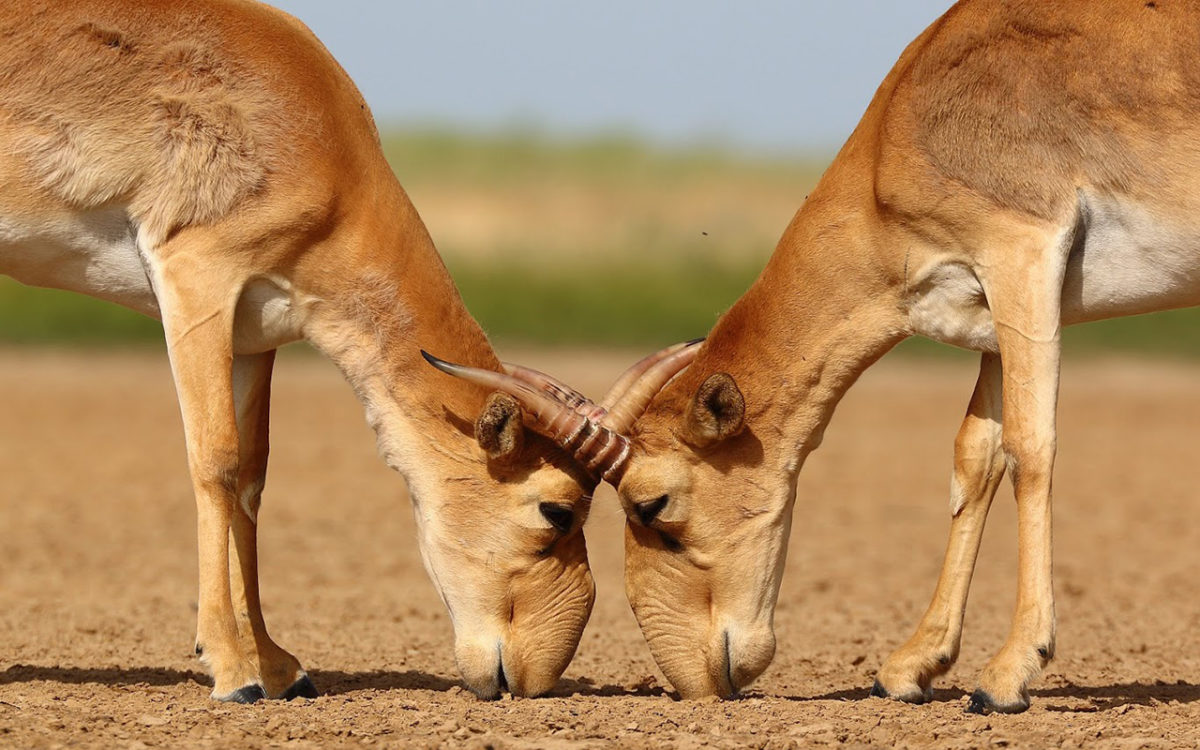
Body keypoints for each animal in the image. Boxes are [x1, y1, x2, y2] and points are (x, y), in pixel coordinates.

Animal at [0, 0, 700, 703]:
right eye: (556, 510)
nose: (531, 680)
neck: (306, 121)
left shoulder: (254, 331)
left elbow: (251, 478)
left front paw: (278, 666)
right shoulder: (196, 281)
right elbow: (215, 461)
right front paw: (232, 670)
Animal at [534, 0, 1197, 714]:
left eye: (651, 504)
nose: (695, 682)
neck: (906, 117)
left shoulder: (1022, 256)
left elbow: (1030, 449)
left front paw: (1007, 676)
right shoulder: (989, 308)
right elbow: (976, 457)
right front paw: (909, 668)